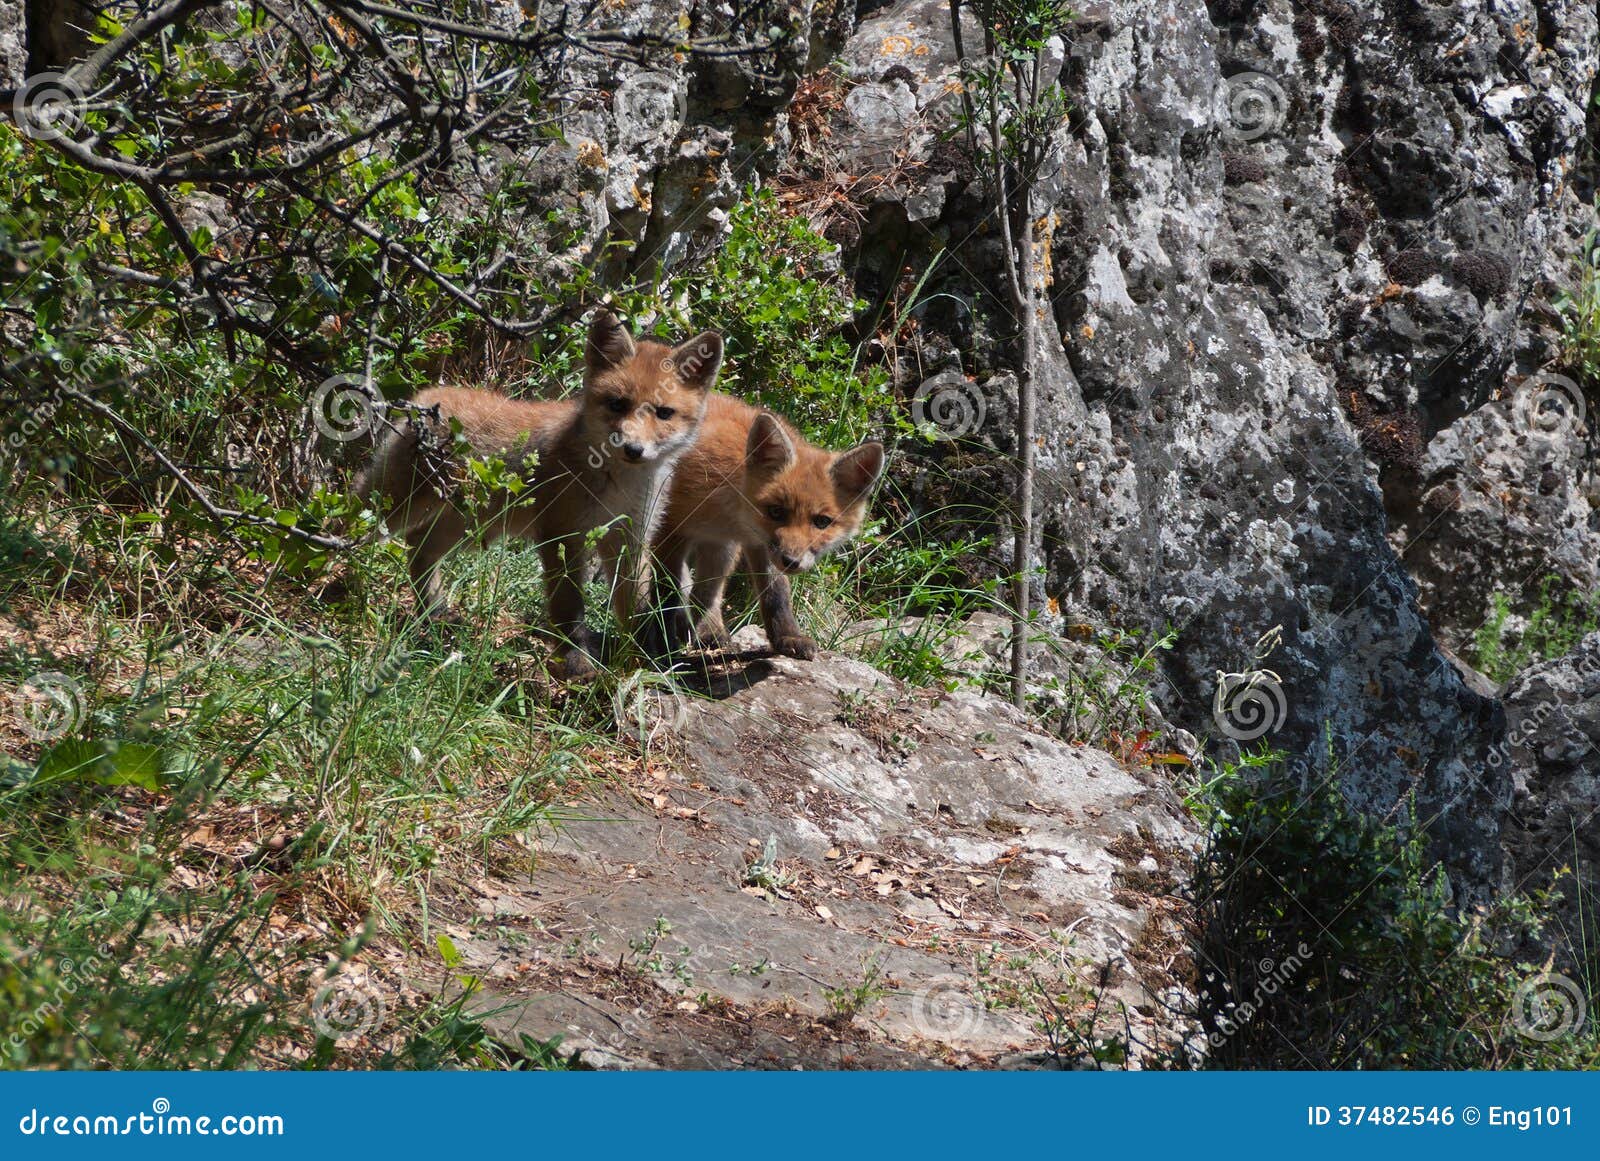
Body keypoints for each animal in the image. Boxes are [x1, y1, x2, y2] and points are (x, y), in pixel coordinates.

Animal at [357, 310, 723, 677]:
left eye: (664, 413)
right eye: (618, 405)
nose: (633, 449)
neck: (618, 483)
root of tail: (429, 397)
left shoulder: (629, 538)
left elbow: (637, 608)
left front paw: (646, 660)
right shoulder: (561, 533)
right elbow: (568, 608)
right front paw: (576, 663)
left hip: (466, 525)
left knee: (419, 548)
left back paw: (433, 613)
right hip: (397, 507)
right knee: (357, 517)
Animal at [644, 391, 885, 661]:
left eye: (822, 521)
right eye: (776, 511)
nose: (792, 561)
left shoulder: (758, 543)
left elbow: (776, 594)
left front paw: (788, 637)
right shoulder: (670, 530)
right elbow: (666, 592)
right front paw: (662, 647)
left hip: (722, 549)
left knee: (707, 591)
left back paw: (710, 632)